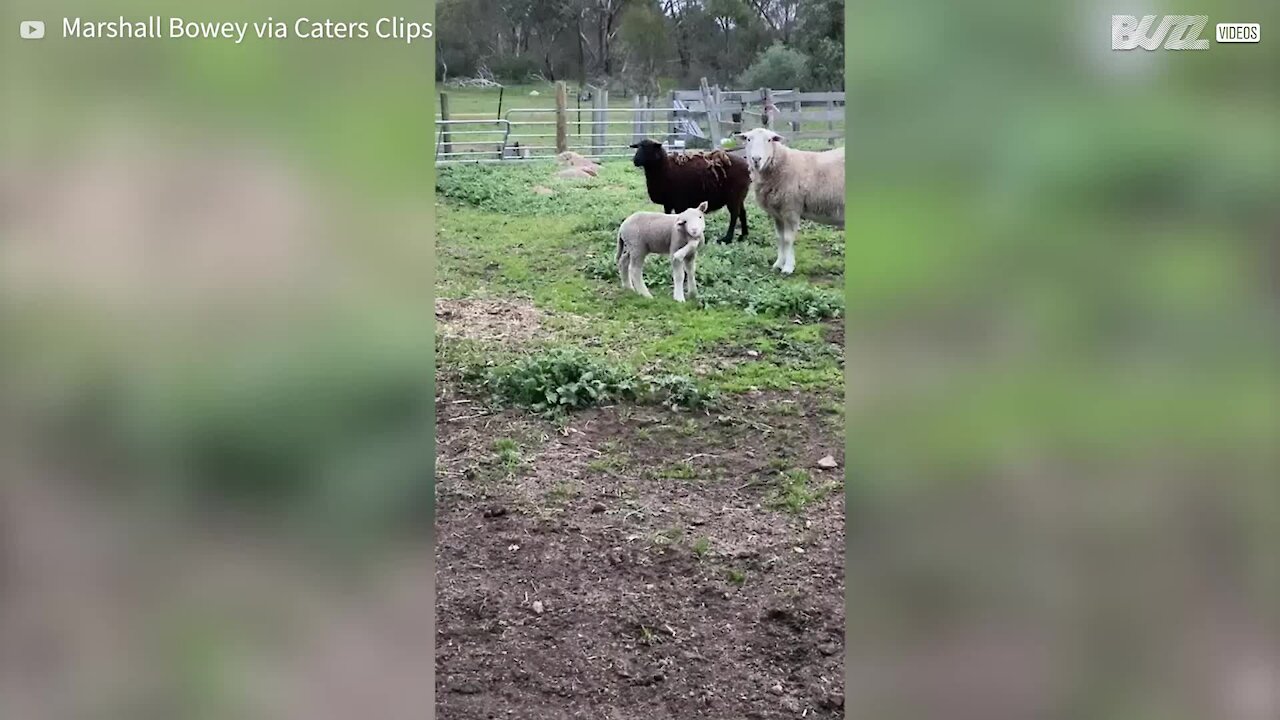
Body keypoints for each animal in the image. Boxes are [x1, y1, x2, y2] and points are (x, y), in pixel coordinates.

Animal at [734, 128, 845, 275]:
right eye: (748, 139)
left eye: (769, 140)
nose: (756, 159)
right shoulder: (777, 213)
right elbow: (779, 238)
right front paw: (778, 264)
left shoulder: (790, 209)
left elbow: (788, 239)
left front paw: (788, 267)